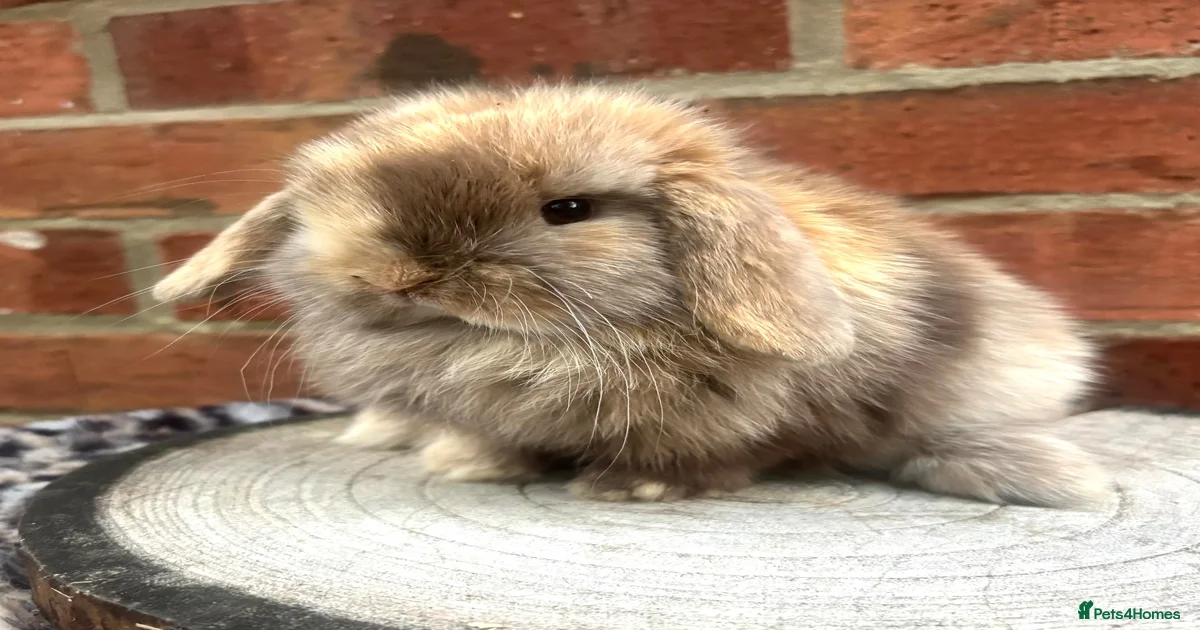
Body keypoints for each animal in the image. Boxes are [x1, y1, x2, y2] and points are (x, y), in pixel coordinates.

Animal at [153, 82, 1109, 507]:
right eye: (345, 199)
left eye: (568, 210)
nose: (398, 275)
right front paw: (475, 462)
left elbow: (727, 455)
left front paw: (632, 489)